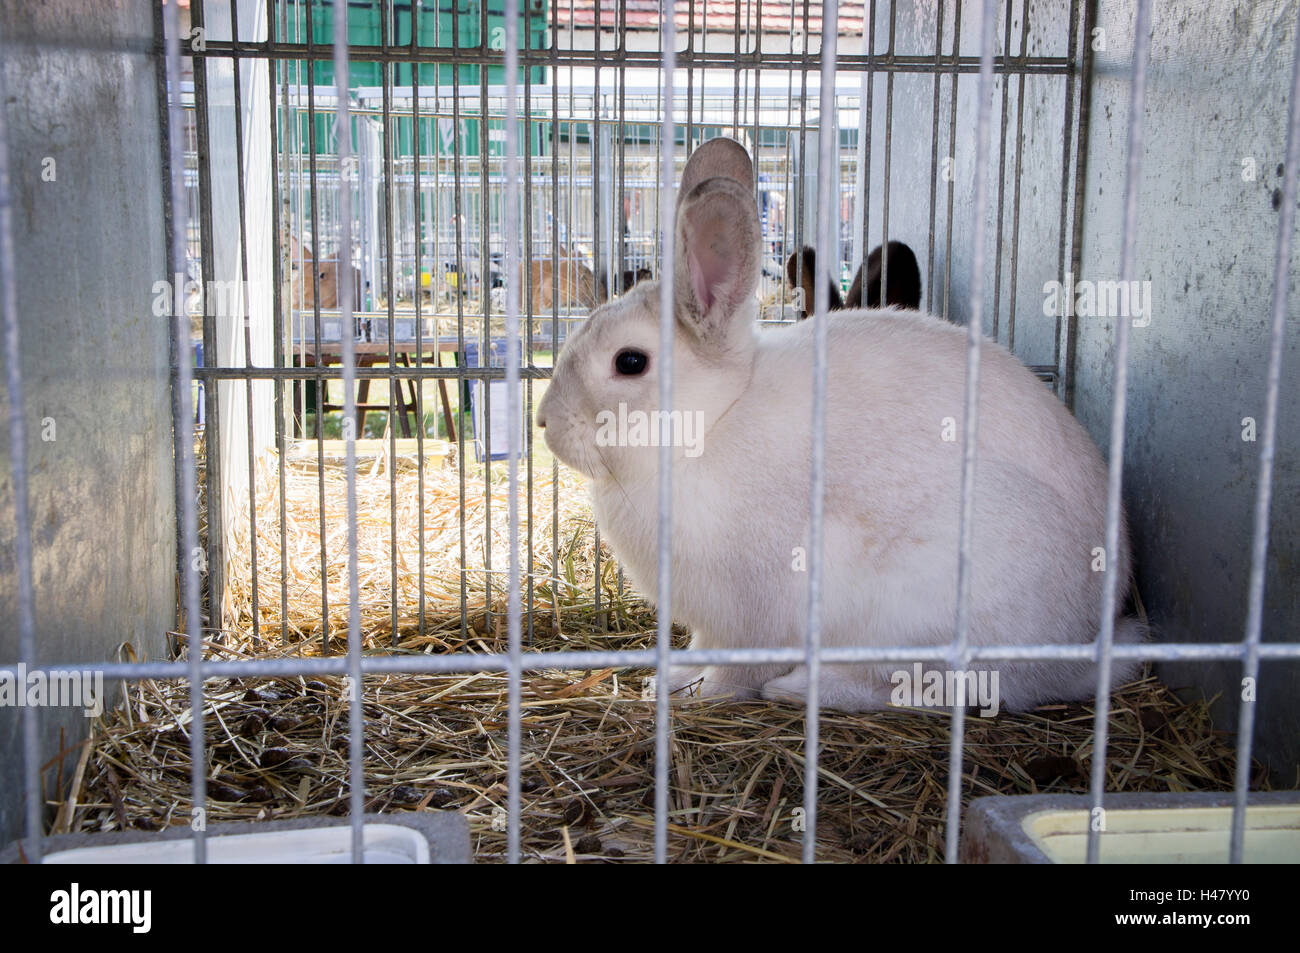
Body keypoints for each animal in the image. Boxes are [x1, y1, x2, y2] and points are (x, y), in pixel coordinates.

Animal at [536, 136, 1143, 713]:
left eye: (629, 362)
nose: (544, 422)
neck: (710, 425)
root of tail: (1088, 642)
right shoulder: (713, 623)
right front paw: (670, 680)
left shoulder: (756, 615)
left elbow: (736, 669)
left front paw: (705, 693)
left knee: (924, 688)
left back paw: (801, 688)